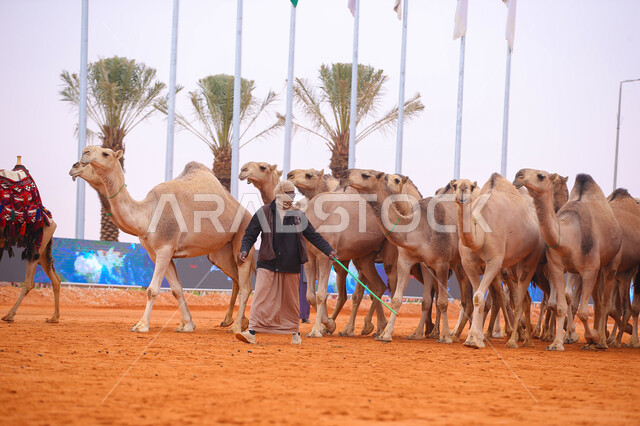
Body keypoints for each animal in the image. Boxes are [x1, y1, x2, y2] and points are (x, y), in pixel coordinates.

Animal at [1, 163, 62, 324]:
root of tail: (51, 220)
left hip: (37, 246)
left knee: (29, 283)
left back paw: (9, 315)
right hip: (42, 251)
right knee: (56, 280)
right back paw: (54, 317)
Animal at [80, 146, 256, 333]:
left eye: (105, 153)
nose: (84, 154)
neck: (147, 214)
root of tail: (247, 212)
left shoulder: (165, 247)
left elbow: (152, 289)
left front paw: (141, 325)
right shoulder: (157, 252)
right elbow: (176, 289)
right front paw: (187, 325)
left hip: (242, 237)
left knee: (246, 286)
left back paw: (237, 327)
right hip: (220, 252)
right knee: (237, 280)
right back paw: (236, 321)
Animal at [451, 174, 545, 349]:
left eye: (471, 186)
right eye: (455, 185)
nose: (462, 190)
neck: (480, 237)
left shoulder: (494, 261)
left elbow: (480, 297)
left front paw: (475, 339)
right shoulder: (468, 264)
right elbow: (477, 297)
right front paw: (472, 338)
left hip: (531, 258)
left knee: (519, 298)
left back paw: (518, 340)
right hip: (512, 266)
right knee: (522, 298)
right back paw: (525, 338)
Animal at [514, 170, 622, 350]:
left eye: (541, 176)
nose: (518, 175)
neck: (568, 235)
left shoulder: (588, 270)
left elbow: (583, 311)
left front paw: (589, 337)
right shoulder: (557, 267)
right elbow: (560, 305)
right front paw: (557, 343)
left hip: (611, 263)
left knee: (606, 301)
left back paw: (602, 340)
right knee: (594, 301)